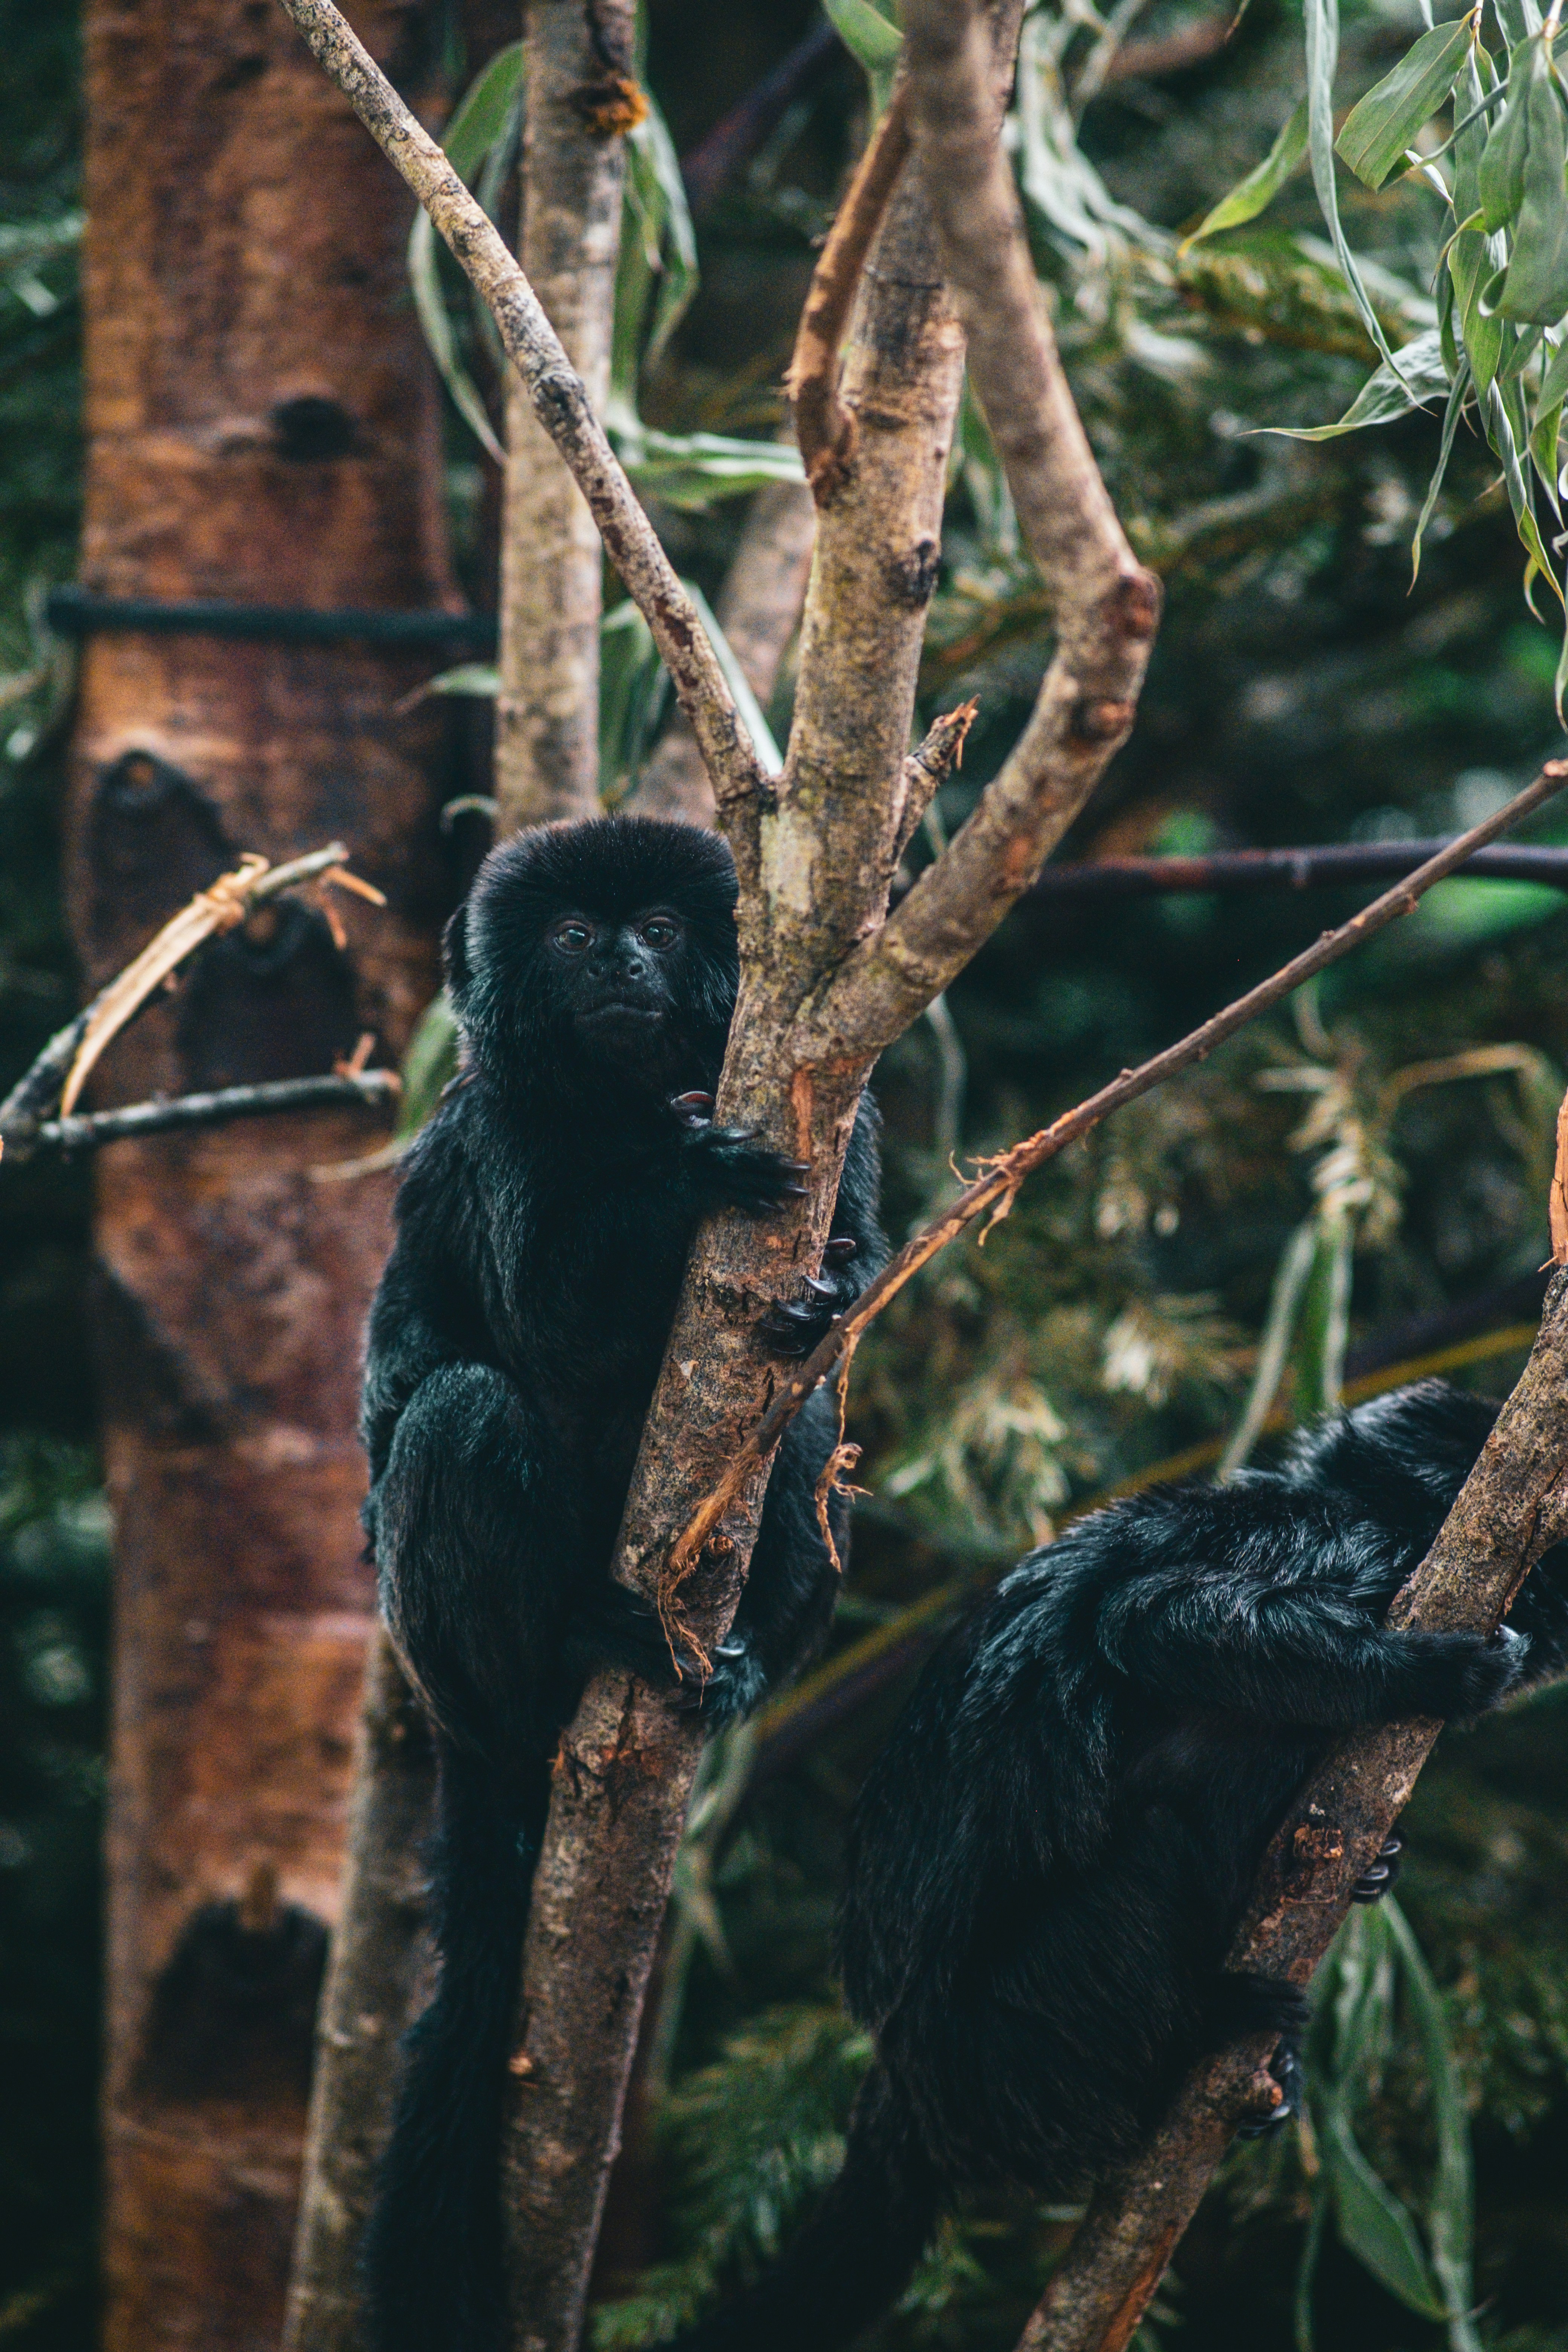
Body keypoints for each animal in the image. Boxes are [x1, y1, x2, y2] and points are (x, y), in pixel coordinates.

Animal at [359, 815, 886, 2352]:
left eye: (654, 925)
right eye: (576, 938)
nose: (626, 966)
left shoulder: (852, 1123)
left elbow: (852, 1286)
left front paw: (827, 1286)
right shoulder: (502, 1136)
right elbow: (547, 1328)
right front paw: (682, 1176)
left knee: (807, 1436)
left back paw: (743, 1654)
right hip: (445, 1656)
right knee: (459, 1412)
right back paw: (573, 1641)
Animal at [661, 1380, 1568, 2352]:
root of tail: (907, 2086)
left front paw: (1375, 1867)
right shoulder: (1361, 1557)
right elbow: (1153, 1621)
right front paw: (1426, 1675)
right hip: (1014, 2047)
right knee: (1153, 1840)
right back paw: (1203, 2026)